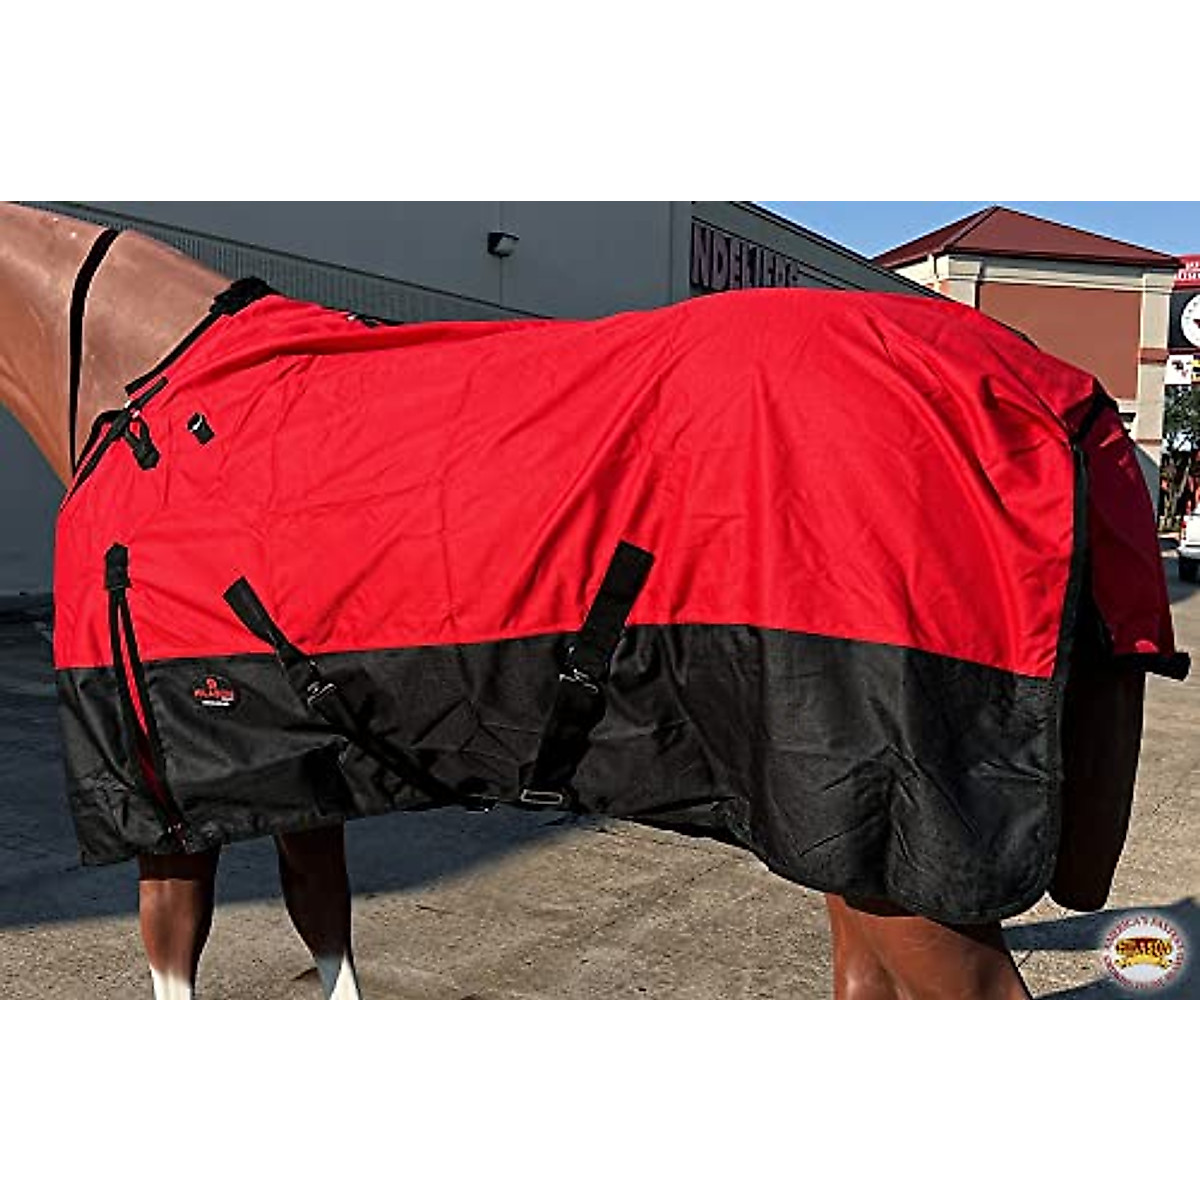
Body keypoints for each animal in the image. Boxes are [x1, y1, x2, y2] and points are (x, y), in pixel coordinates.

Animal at [1, 201, 1183, 999]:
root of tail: (1051, 388)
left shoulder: (158, 796)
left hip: (898, 845)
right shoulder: (290, 769)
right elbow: (327, 934)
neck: (144, 382)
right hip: (847, 842)